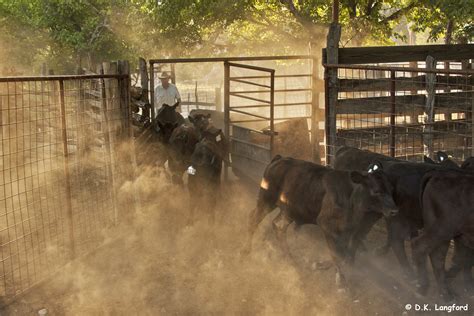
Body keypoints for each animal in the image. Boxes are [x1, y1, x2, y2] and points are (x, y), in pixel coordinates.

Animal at [243, 157, 398, 292]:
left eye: (391, 189)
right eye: (377, 191)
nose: (394, 211)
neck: (351, 197)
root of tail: (279, 159)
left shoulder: (349, 232)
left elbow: (346, 254)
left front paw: (321, 266)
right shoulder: (326, 225)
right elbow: (338, 254)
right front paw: (341, 282)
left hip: (289, 211)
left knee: (278, 226)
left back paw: (291, 260)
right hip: (266, 200)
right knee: (253, 219)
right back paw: (247, 251)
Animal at [412, 169, 474, 300]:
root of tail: (438, 174)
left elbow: (466, 260)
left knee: (437, 256)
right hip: (444, 229)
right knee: (421, 247)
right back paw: (427, 288)